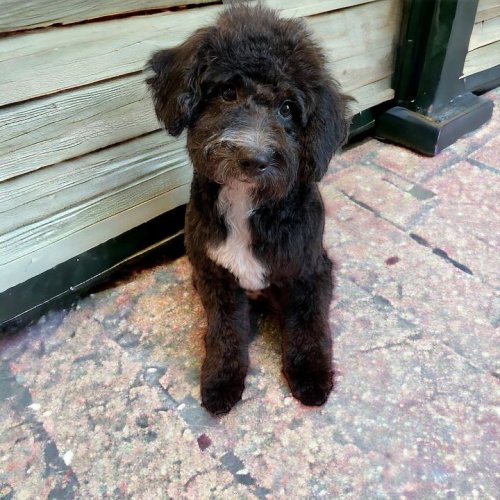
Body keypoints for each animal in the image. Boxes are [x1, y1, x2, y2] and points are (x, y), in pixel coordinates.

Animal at [147, 4, 349, 415]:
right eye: (227, 92)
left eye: (288, 108)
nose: (253, 158)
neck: (246, 203)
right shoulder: (215, 276)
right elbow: (225, 332)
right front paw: (222, 380)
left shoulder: (309, 271)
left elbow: (308, 326)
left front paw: (311, 375)